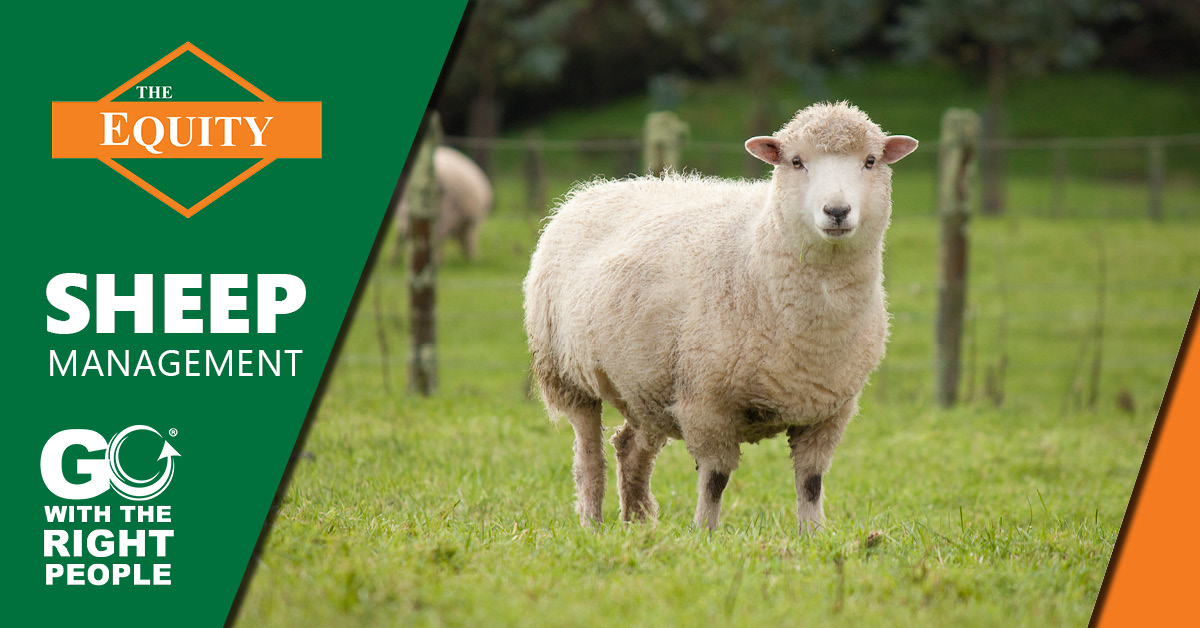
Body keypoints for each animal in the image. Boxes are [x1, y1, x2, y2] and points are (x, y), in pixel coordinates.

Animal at [522, 102, 918, 533]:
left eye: (870, 161)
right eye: (796, 161)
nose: (837, 211)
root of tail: (594, 189)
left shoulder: (829, 411)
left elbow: (811, 482)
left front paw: (812, 535)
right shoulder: (706, 404)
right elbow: (715, 479)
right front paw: (705, 534)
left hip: (646, 385)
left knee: (629, 448)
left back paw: (639, 524)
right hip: (566, 374)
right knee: (589, 458)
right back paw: (592, 524)